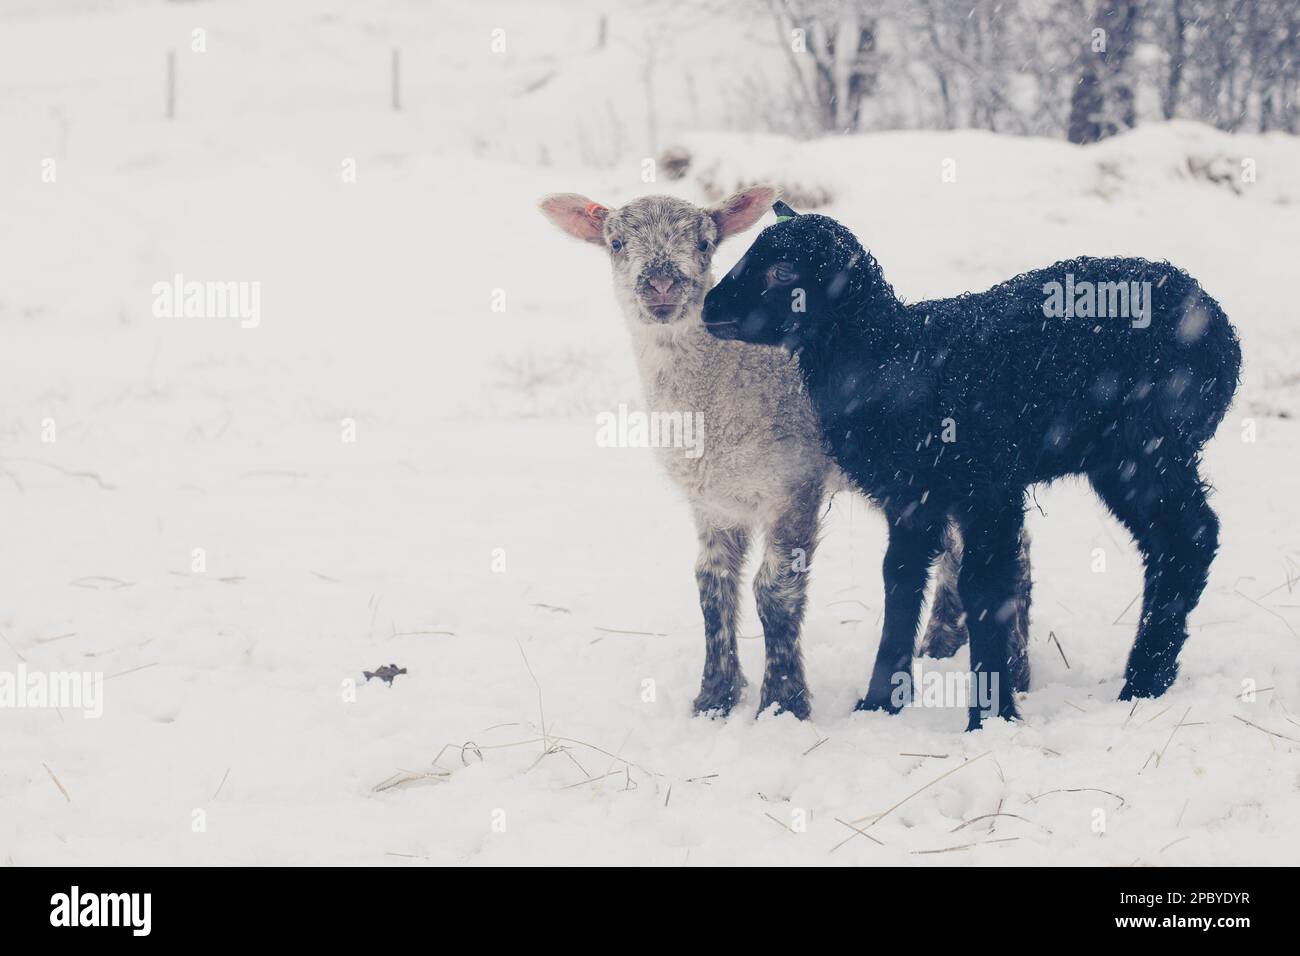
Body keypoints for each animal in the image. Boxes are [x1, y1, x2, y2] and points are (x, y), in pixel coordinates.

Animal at [539, 189, 1030, 719]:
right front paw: (715, 696)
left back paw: (1017, 667)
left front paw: (782, 701)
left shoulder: (793, 484)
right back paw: (942, 642)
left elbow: (773, 592)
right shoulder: (713, 502)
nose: (662, 282)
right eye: (617, 243)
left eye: (705, 242)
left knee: (1012, 553)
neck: (719, 391)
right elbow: (712, 585)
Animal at [702, 204, 1241, 729]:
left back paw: (1142, 683)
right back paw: (1150, 680)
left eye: (783, 270)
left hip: (1149, 447)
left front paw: (992, 717)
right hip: (1123, 463)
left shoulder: (989, 489)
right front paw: (880, 704)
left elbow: (984, 586)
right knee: (1173, 542)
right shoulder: (911, 498)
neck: (894, 360)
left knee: (1191, 536)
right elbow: (899, 579)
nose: (709, 308)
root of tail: (1218, 325)